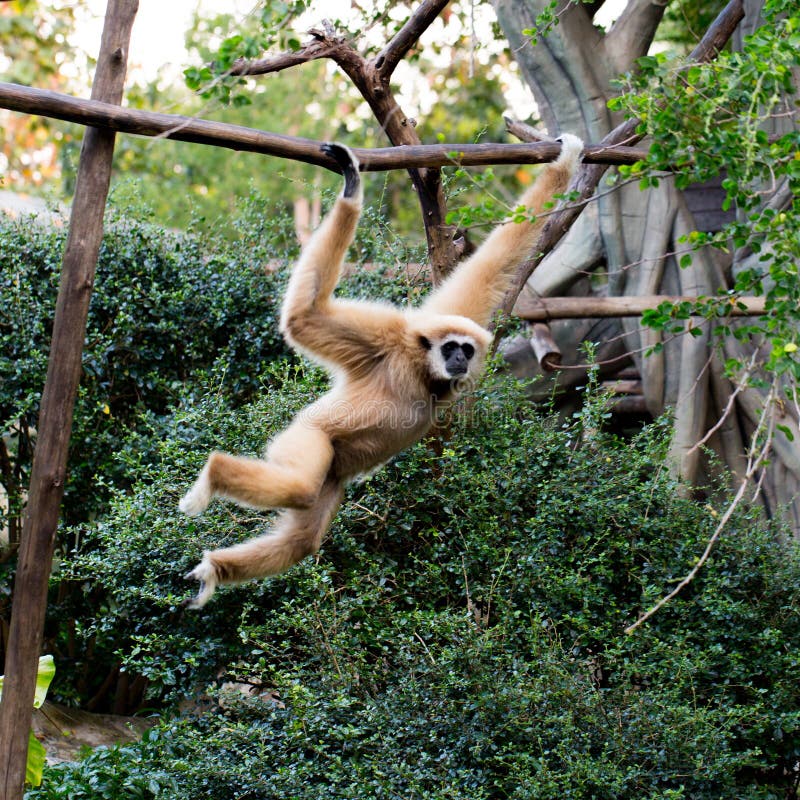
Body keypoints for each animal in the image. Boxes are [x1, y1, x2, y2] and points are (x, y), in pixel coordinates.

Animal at [180, 134, 584, 608]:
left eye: (466, 349)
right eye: (451, 348)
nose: (460, 361)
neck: (423, 373)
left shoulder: (447, 320)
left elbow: (497, 263)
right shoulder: (391, 338)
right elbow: (305, 318)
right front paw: (351, 185)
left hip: (333, 477)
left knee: (302, 538)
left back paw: (215, 570)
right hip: (307, 438)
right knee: (299, 485)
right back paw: (212, 475)